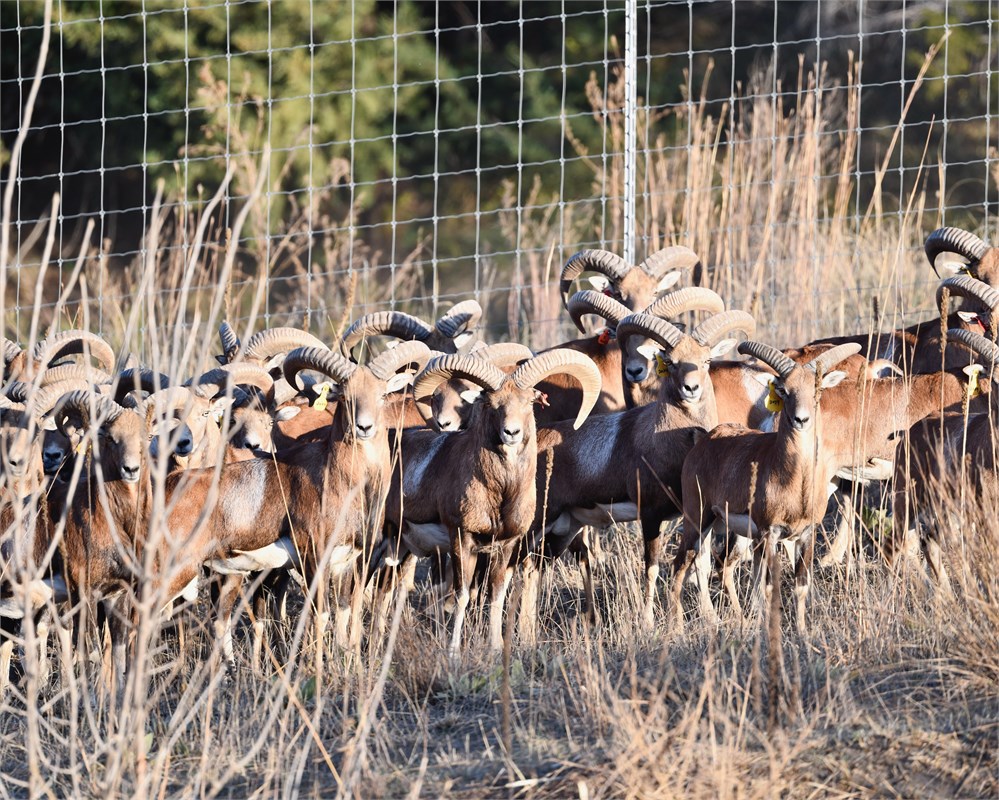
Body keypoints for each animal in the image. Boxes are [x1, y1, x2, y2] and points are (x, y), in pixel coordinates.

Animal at [385, 348, 601, 659]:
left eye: (528, 402)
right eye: (493, 404)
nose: (511, 433)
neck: (501, 494)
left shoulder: (506, 546)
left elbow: (496, 595)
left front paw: (496, 648)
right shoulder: (462, 541)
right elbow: (463, 596)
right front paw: (453, 653)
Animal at [673, 342, 861, 633]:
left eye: (816, 389)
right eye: (783, 389)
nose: (801, 420)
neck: (794, 482)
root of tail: (705, 439)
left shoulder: (805, 534)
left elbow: (800, 585)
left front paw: (802, 631)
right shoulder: (770, 533)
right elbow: (771, 588)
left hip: (721, 527)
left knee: (709, 564)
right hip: (698, 520)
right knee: (681, 563)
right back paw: (678, 628)